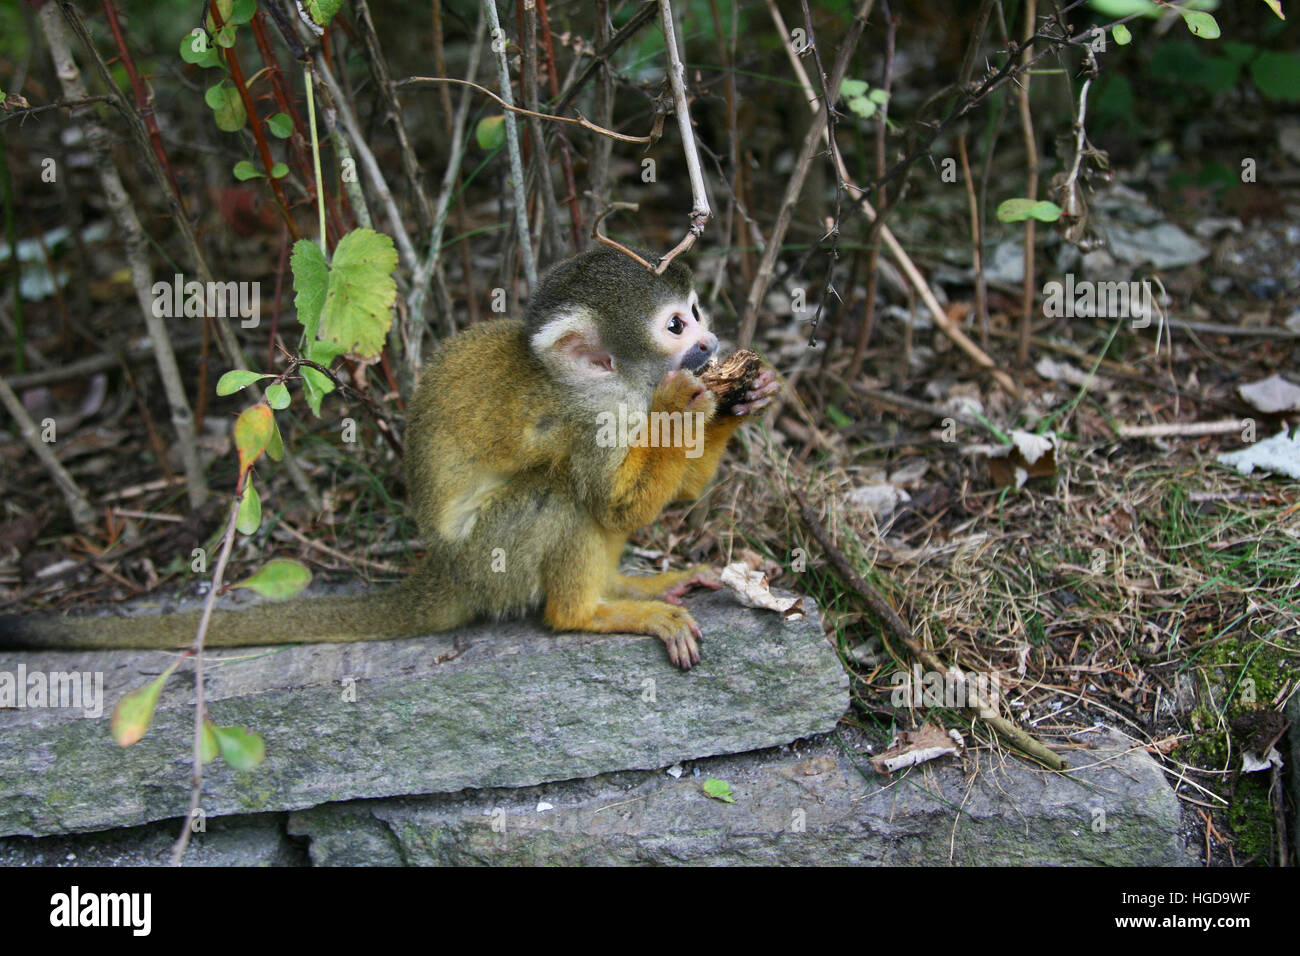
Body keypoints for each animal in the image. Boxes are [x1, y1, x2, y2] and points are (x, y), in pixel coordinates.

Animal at [0, 247, 778, 669]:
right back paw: (587, 613)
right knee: (560, 497)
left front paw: (739, 400)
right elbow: (613, 499)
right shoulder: (593, 416)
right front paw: (684, 400)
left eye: (697, 312)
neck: (604, 380)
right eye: (675, 326)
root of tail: (443, 574)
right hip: (491, 562)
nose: (709, 342)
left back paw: (631, 588)